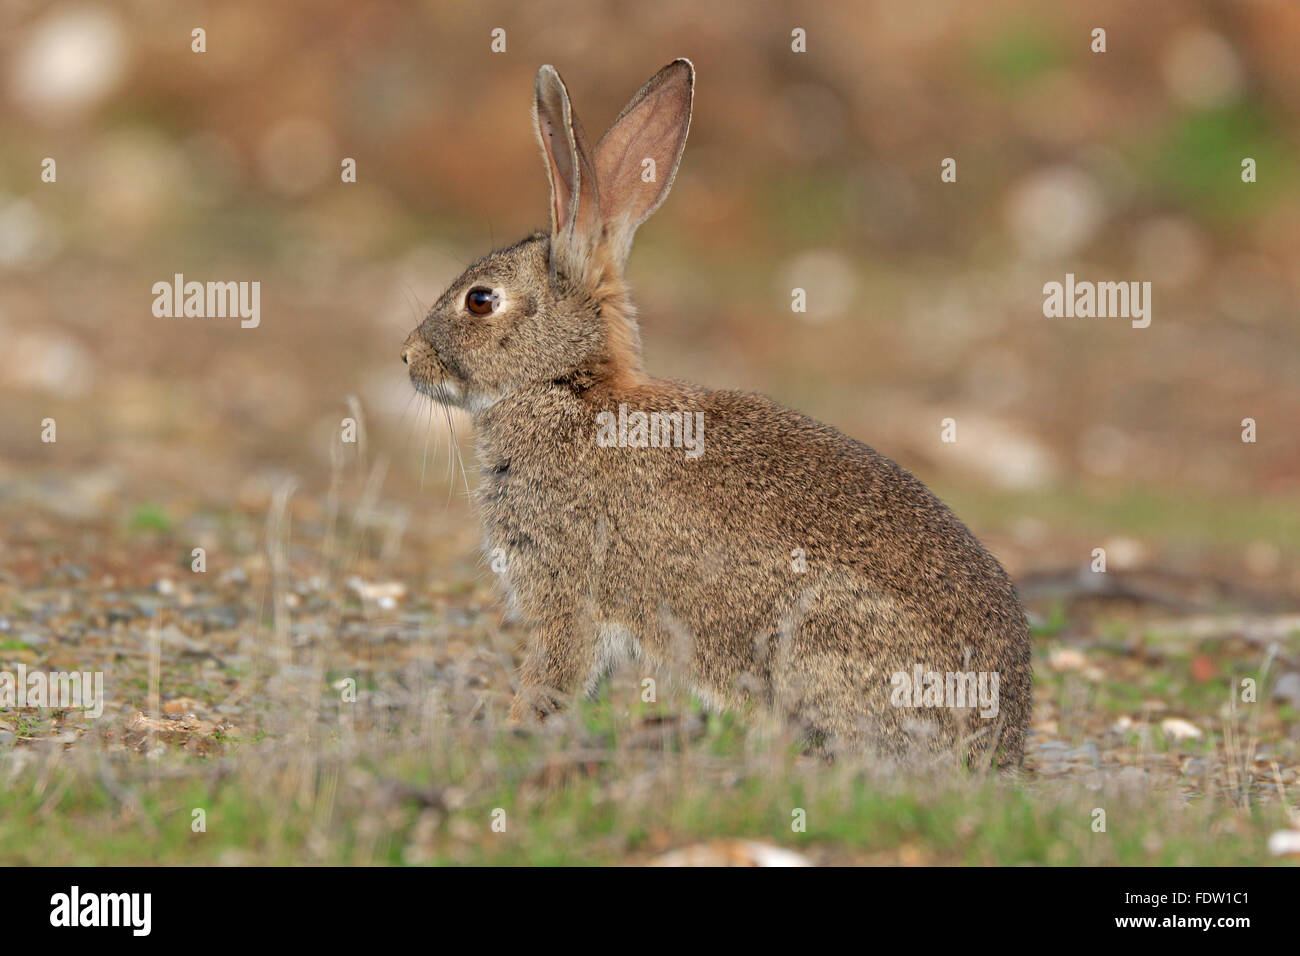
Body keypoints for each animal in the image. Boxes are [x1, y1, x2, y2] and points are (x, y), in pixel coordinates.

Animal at [401, 59, 1032, 768]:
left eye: (480, 301)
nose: (407, 356)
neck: (568, 387)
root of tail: (998, 742)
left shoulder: (567, 592)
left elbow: (553, 675)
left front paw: (514, 730)